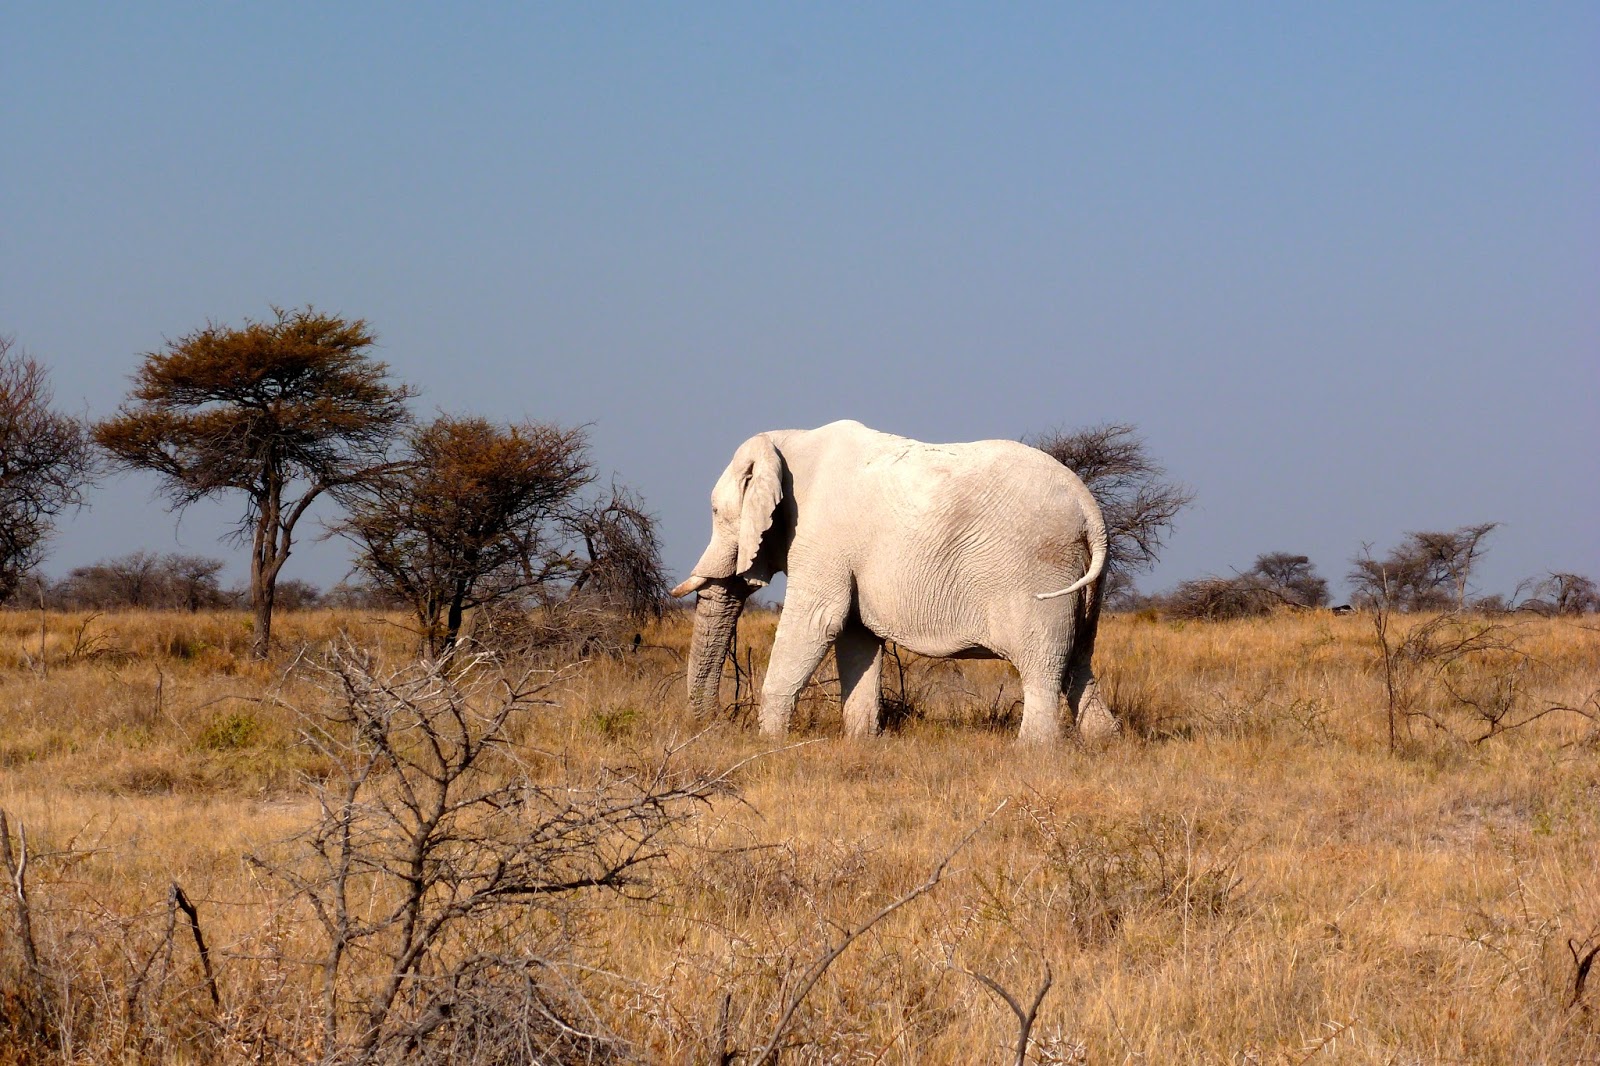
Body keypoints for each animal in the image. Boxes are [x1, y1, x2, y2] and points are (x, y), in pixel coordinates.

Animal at [671, 420, 1117, 743]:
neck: (788, 441)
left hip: (1037, 571)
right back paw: (1103, 740)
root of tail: (1089, 507)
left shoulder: (821, 536)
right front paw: (861, 742)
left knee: (1043, 665)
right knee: (1077, 659)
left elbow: (819, 621)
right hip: (1080, 575)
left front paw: (769, 742)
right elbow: (855, 635)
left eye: (715, 512)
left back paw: (1033, 750)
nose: (712, 727)